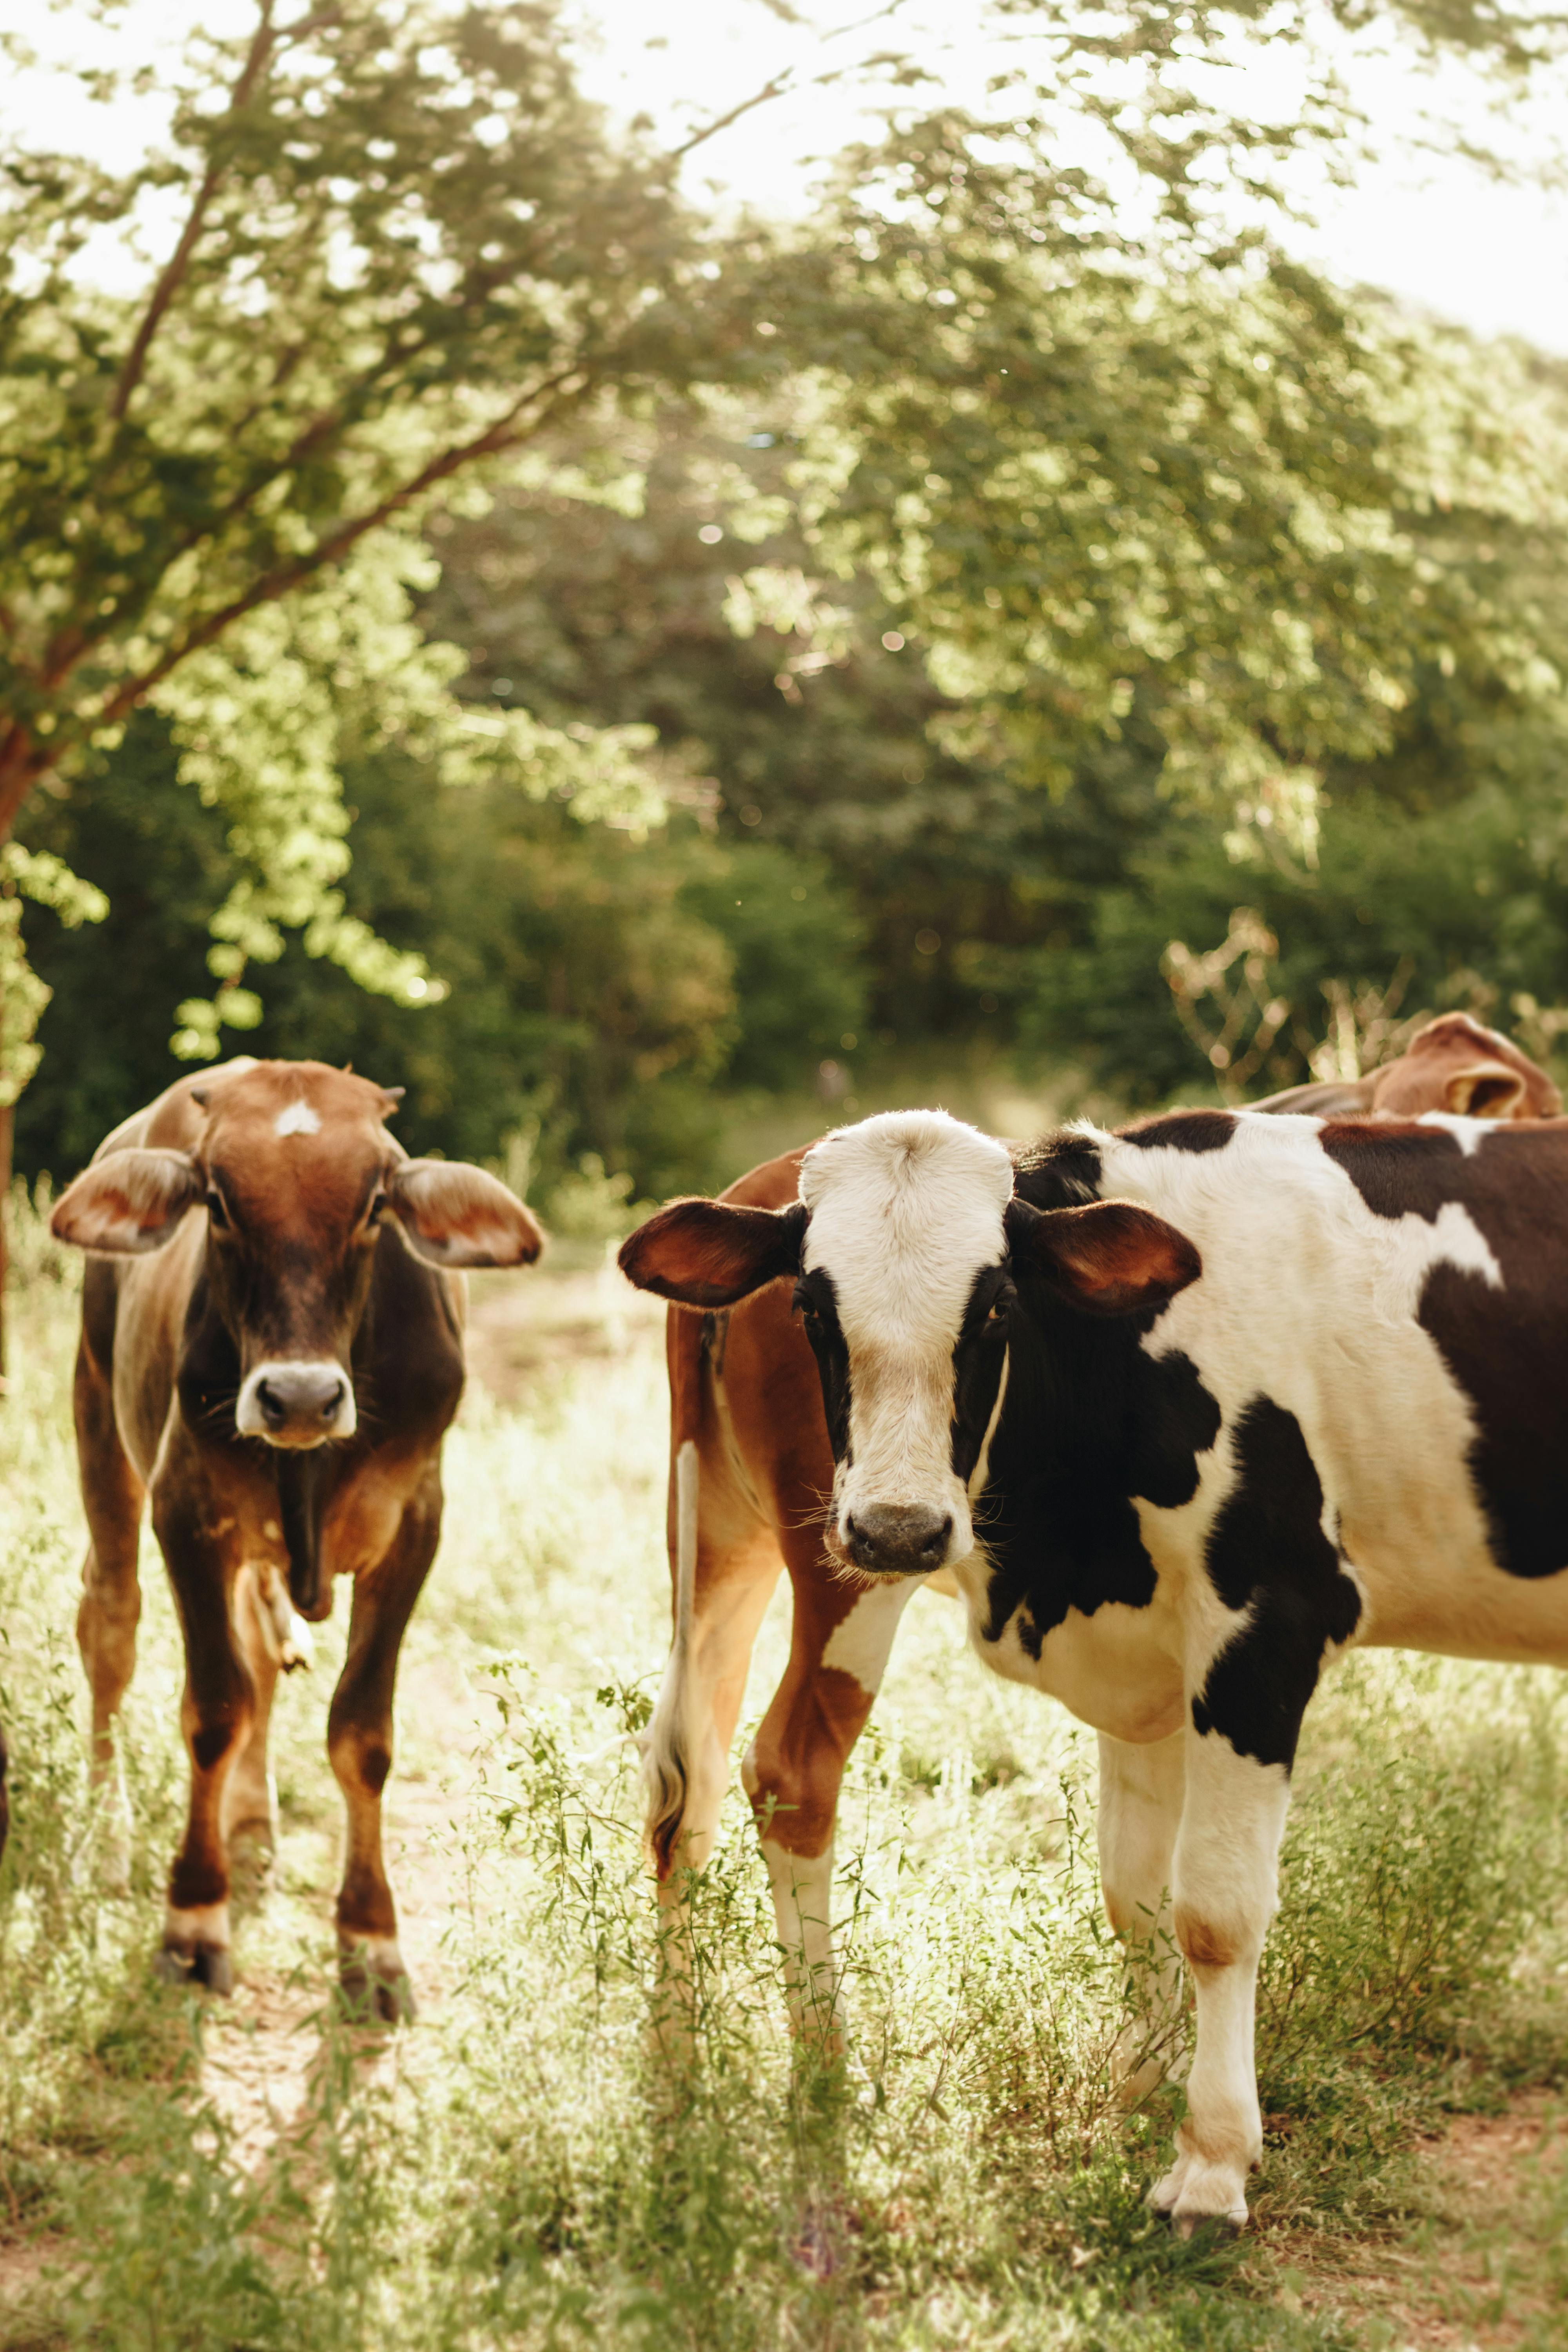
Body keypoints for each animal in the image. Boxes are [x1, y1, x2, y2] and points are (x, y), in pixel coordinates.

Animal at [50, 1058, 542, 2016]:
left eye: (374, 1205)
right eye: (218, 1201)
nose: (301, 1399)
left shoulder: (414, 1525)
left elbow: (361, 1732)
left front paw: (370, 1943)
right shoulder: (185, 1509)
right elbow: (214, 1711)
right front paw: (194, 1924)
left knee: (258, 1655)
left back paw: (251, 1827)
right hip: (100, 1423)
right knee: (111, 1626)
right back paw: (105, 1836)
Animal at [618, 1095, 1568, 2234]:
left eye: (996, 1305)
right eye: (811, 1303)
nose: (898, 1527)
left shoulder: (1244, 1628)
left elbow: (1183, 1901)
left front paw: (1184, 2132)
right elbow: (1173, 1900)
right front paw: (1194, 2136)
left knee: (694, 1782)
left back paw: (684, 2076)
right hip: (776, 1545)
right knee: (764, 1774)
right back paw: (794, 2080)